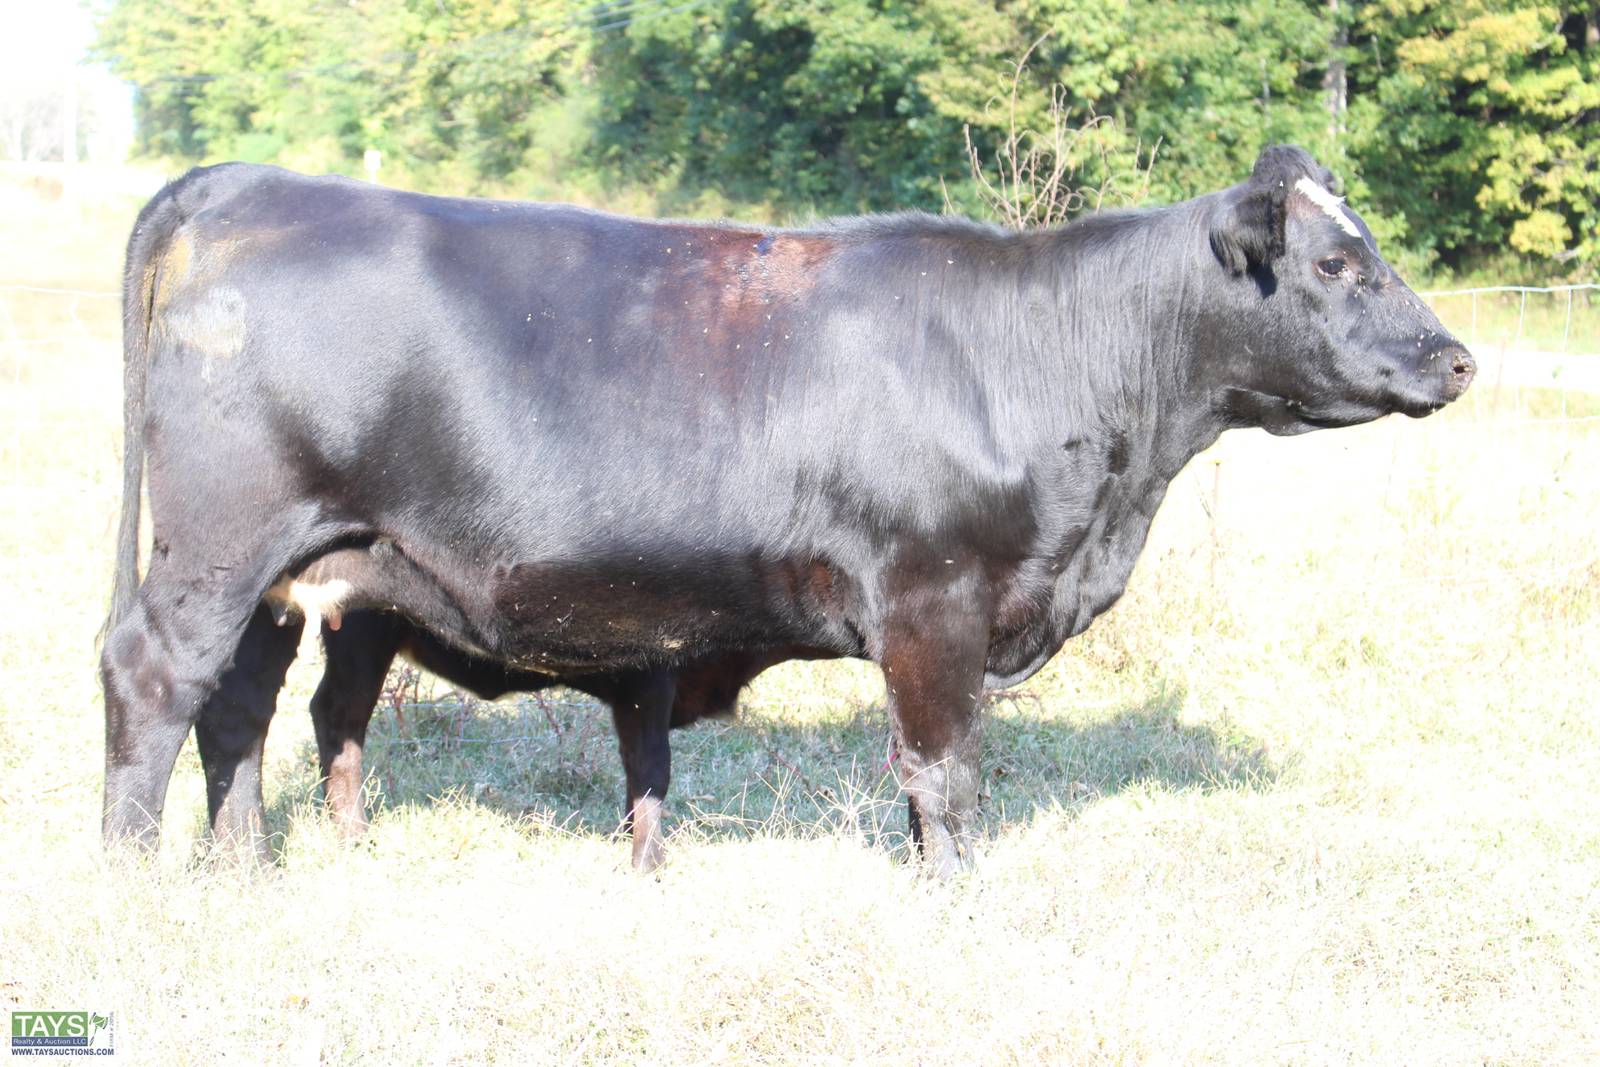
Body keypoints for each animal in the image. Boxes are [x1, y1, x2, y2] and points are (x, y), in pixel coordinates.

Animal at [100, 144, 1474, 877]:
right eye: (1336, 262)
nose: (1456, 357)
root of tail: (243, 183)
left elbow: (924, 778)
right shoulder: (933, 602)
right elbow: (945, 768)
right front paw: (959, 895)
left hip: (311, 571)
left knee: (248, 706)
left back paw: (251, 862)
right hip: (219, 548)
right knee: (155, 678)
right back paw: (135, 875)